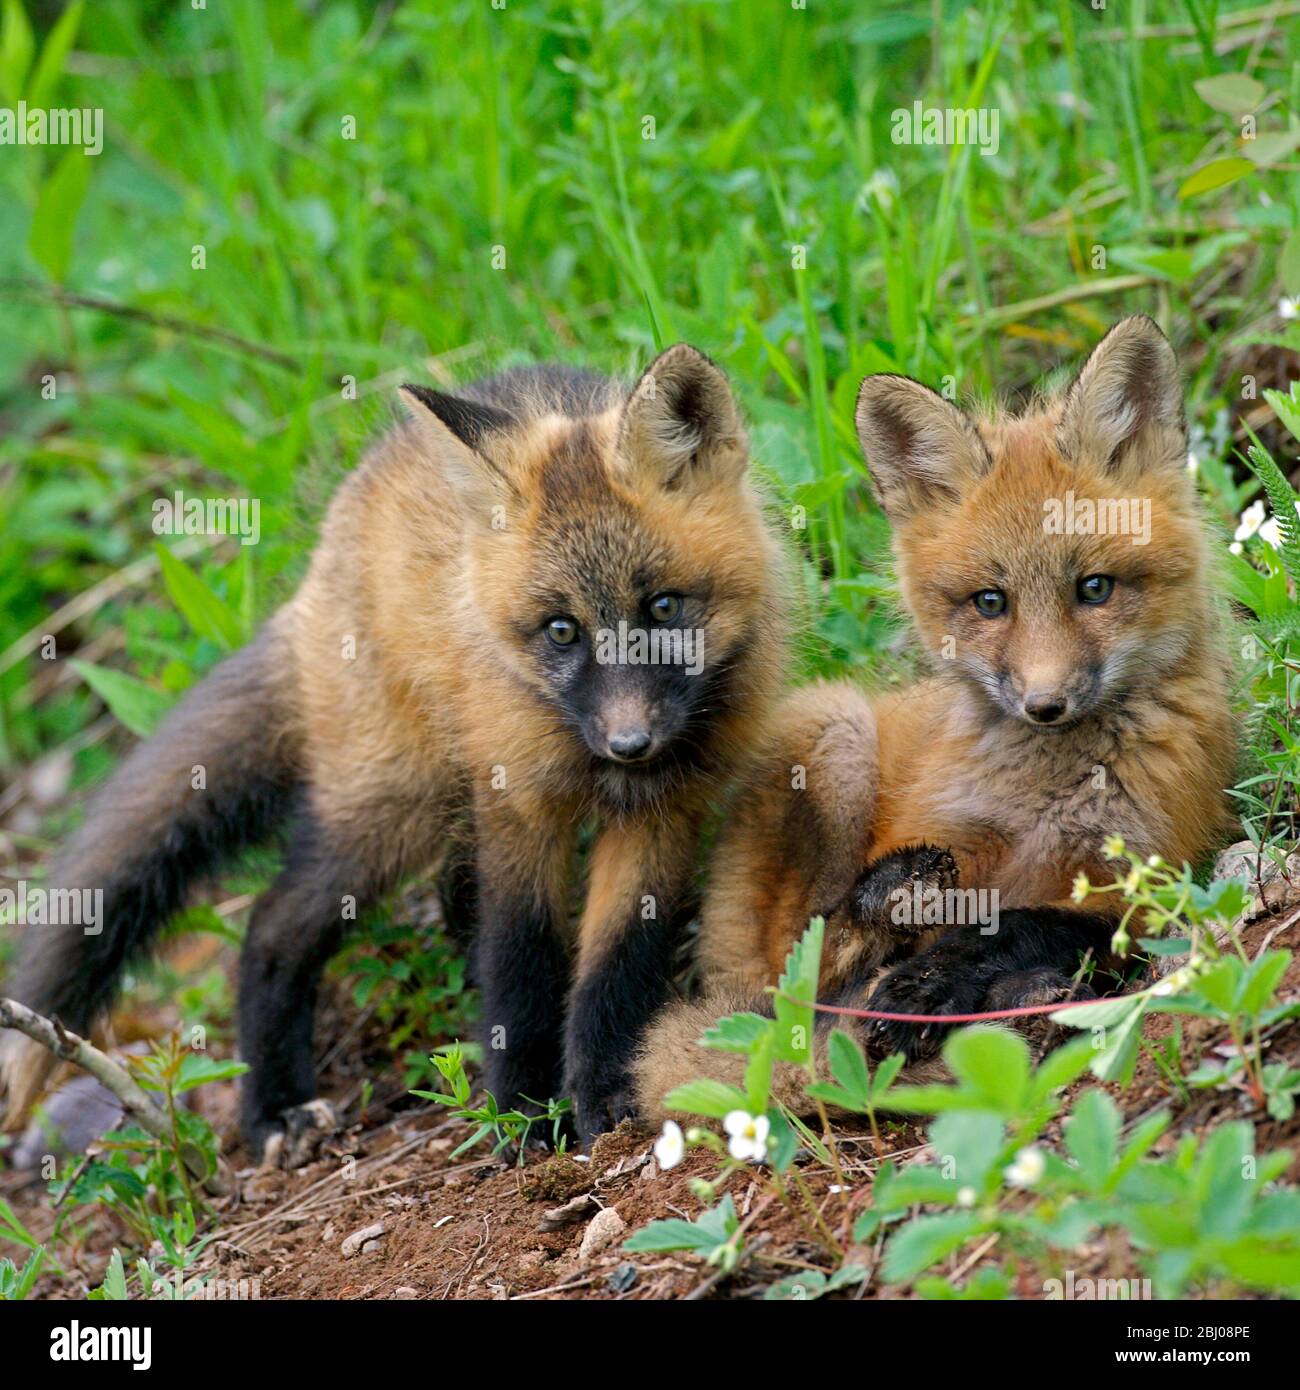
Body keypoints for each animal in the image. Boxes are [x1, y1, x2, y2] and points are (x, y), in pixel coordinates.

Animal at [0, 344, 790, 1154]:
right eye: (562, 630)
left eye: (663, 607)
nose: (630, 744)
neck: (589, 758)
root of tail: (327, 548)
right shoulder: (520, 803)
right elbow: (522, 965)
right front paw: (523, 1113)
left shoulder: (662, 811)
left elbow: (616, 970)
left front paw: (603, 1098)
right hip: (393, 808)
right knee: (272, 926)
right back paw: (274, 1106)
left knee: (436, 897)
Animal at [633, 316, 1238, 1120]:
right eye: (990, 602)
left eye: (1095, 588)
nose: (1046, 705)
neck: (1043, 798)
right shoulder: (954, 837)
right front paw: (915, 974)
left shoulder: (1145, 882)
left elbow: (1024, 926)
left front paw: (941, 984)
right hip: (835, 731)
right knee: (812, 967)